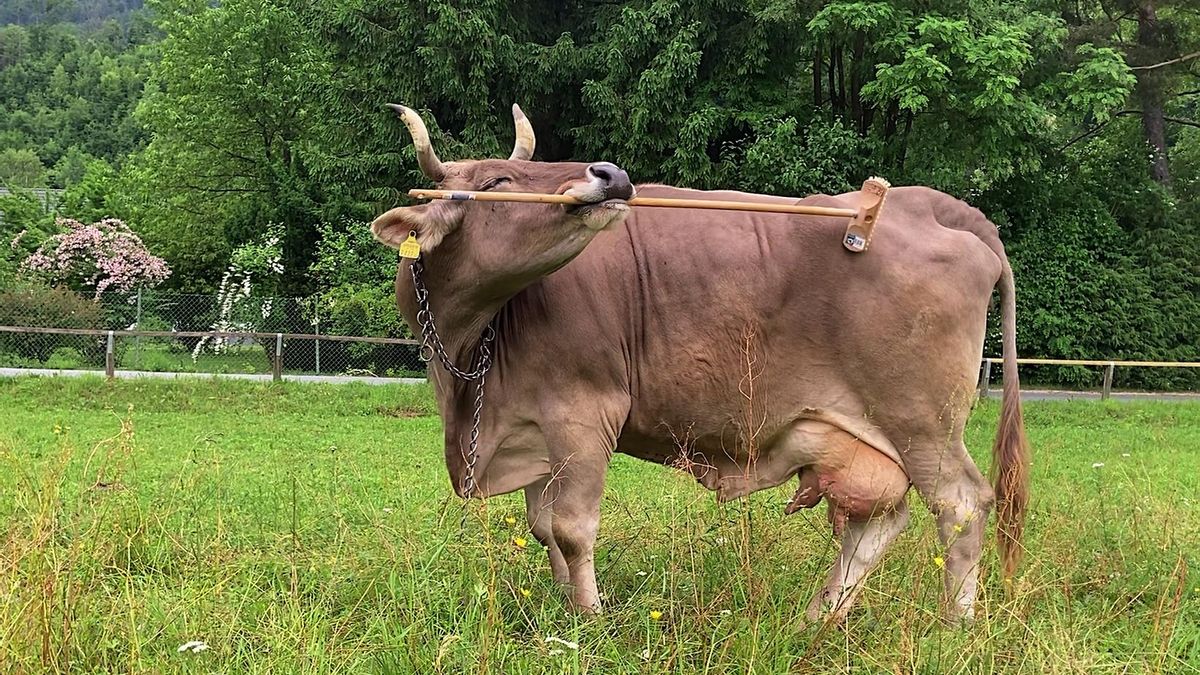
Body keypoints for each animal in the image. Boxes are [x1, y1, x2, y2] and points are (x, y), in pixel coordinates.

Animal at [370, 103, 1031, 625]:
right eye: (500, 179)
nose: (610, 173)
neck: (469, 354)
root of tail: (936, 206)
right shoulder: (532, 425)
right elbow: (541, 525)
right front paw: (560, 602)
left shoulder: (583, 413)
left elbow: (572, 528)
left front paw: (588, 618)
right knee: (882, 520)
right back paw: (817, 617)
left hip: (923, 424)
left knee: (962, 506)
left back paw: (954, 624)